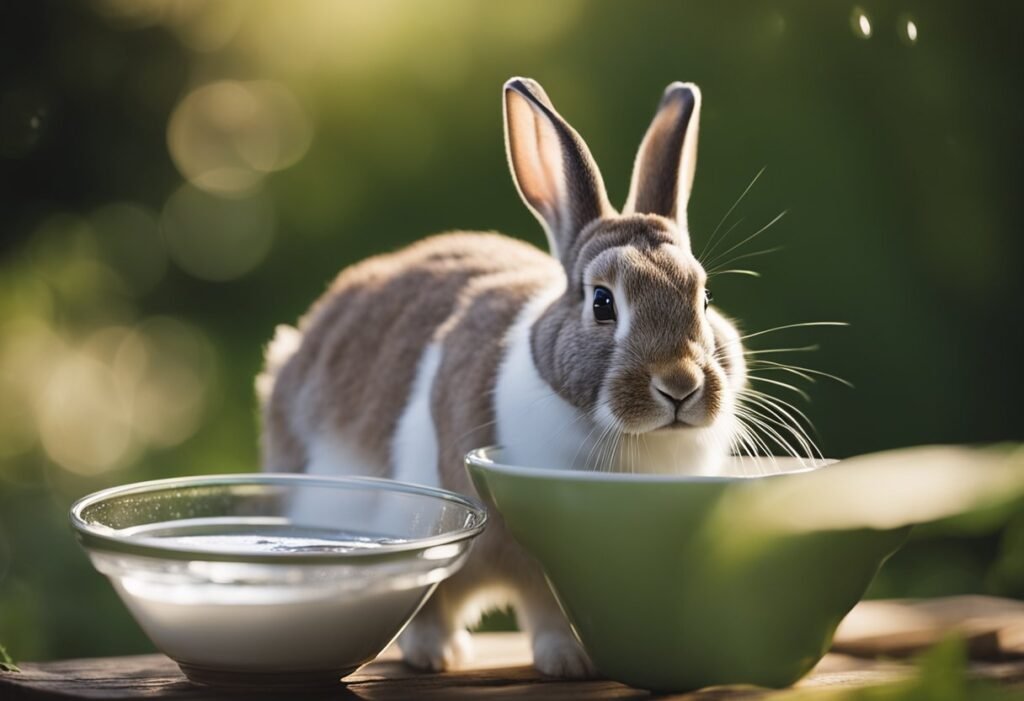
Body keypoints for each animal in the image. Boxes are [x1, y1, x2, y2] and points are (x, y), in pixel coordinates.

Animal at [257, 77, 747, 678]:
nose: (679, 386)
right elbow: (521, 603)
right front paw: (563, 662)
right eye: (602, 302)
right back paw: (438, 653)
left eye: (705, 298)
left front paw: (577, 661)